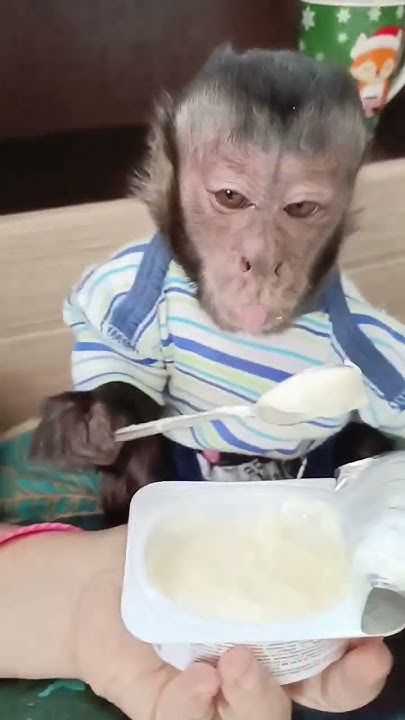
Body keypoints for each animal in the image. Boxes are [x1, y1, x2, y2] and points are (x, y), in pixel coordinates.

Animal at [29, 45, 404, 526]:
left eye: (301, 208)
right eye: (230, 197)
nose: (260, 260)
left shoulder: (366, 342)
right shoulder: (143, 276)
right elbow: (111, 348)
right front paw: (97, 417)